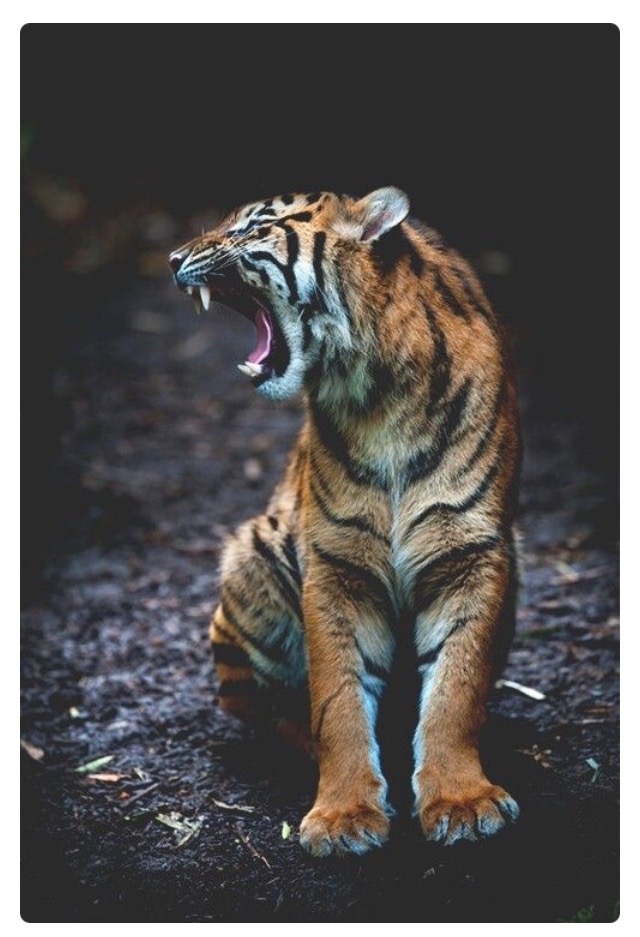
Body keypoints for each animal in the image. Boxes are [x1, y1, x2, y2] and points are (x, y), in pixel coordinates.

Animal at [169, 187, 521, 856]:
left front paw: (461, 803)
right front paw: (344, 815)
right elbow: (336, 701)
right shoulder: (337, 565)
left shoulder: (471, 555)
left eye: (250, 227)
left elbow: (456, 690)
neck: (378, 394)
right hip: (254, 554)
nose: (174, 258)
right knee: (260, 709)